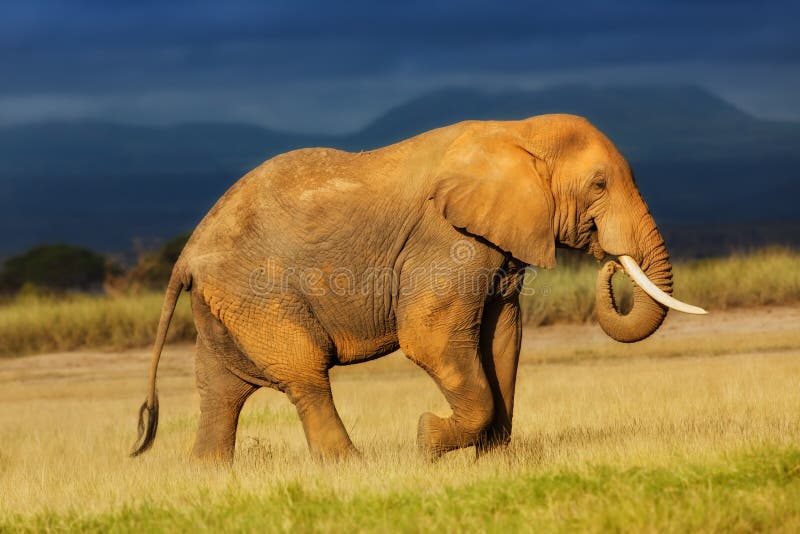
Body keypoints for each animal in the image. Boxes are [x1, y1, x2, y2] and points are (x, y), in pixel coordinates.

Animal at [131, 114, 705, 463]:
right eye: (599, 185)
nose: (609, 264)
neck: (514, 131)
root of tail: (186, 254)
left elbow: (503, 339)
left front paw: (495, 462)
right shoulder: (445, 239)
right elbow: (430, 339)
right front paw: (427, 441)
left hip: (225, 302)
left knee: (220, 389)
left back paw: (209, 475)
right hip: (257, 291)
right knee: (305, 372)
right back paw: (352, 470)